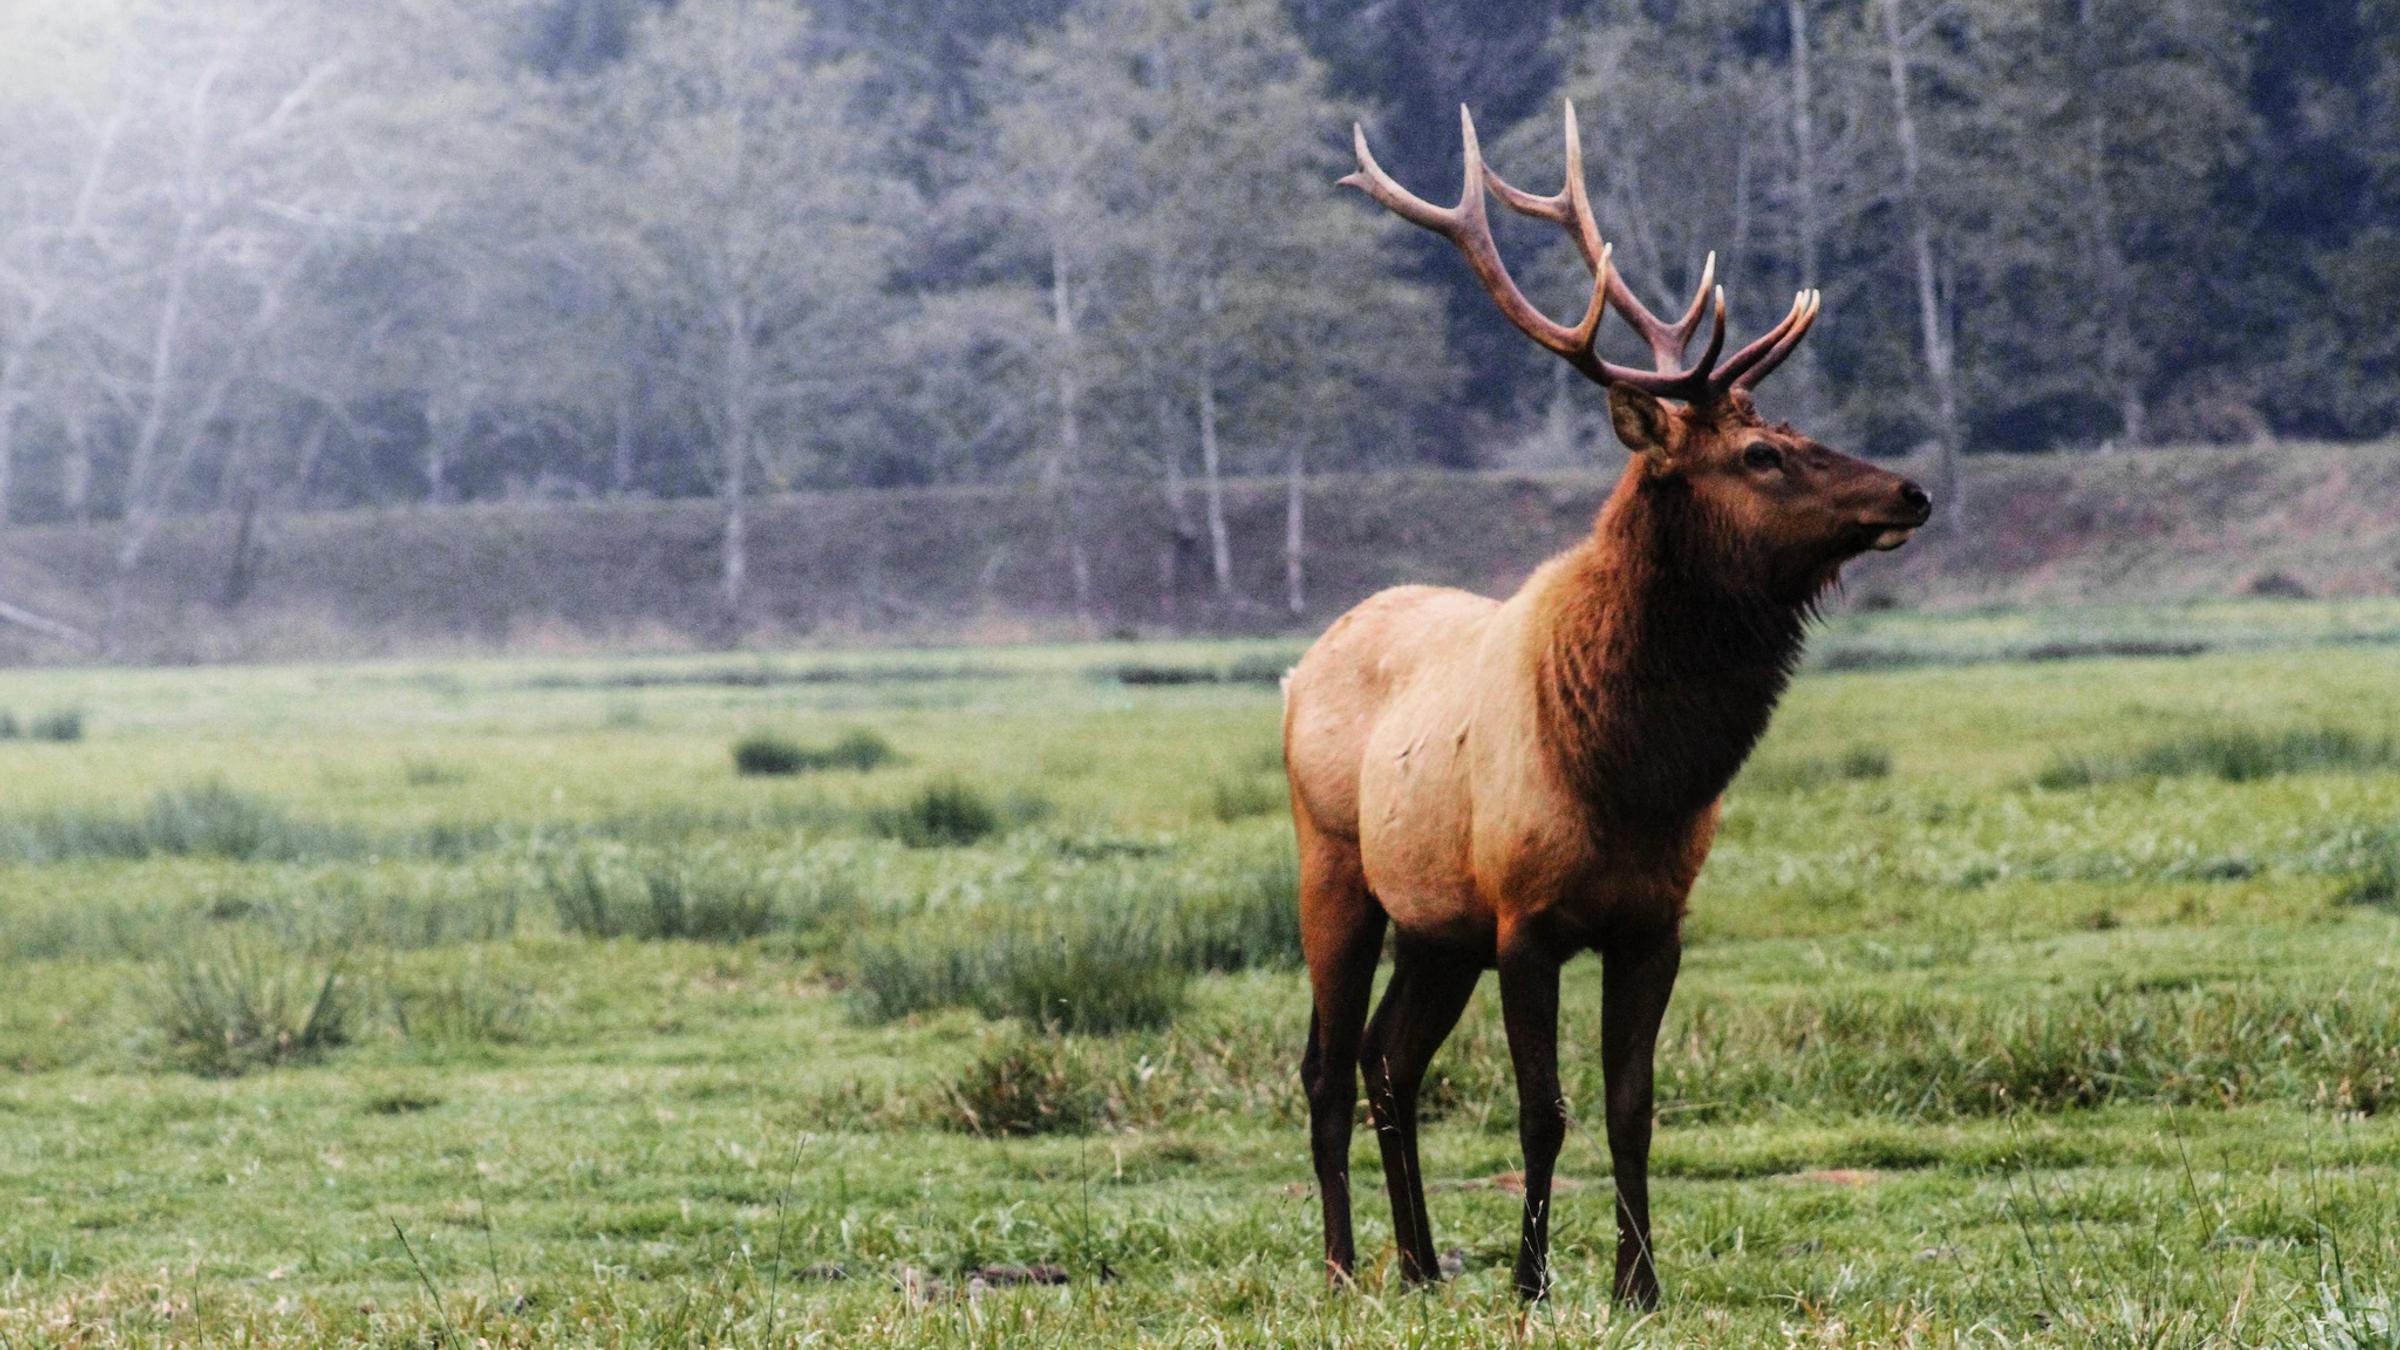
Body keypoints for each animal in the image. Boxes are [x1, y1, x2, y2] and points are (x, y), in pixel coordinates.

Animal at [1283, 102, 1931, 1308]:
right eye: (1761, 453)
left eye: (1794, 425)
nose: (1912, 490)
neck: (1629, 773)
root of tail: (1303, 665)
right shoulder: (1525, 918)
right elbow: (1543, 1111)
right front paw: (1532, 1279)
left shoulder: (1652, 922)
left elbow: (1633, 1108)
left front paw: (1640, 1282)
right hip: (1335, 867)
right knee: (1325, 1067)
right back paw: (1347, 1266)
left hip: (1439, 923)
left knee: (1390, 1060)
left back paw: (1423, 1263)